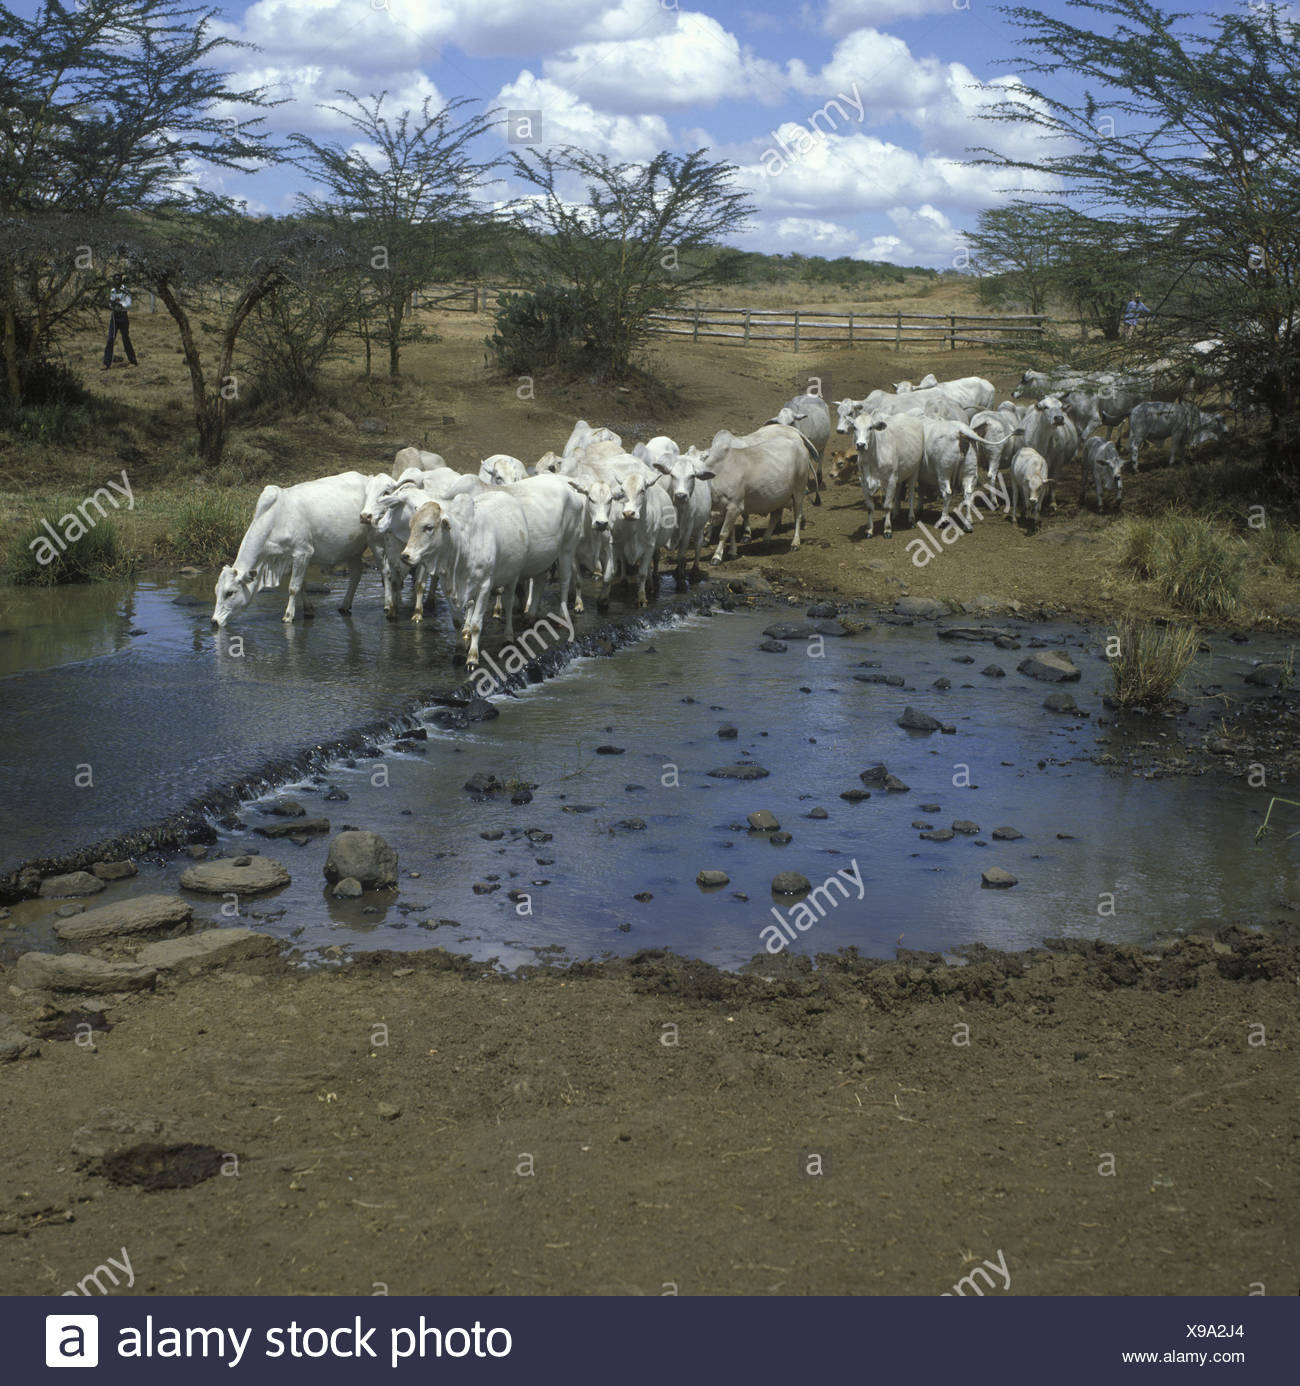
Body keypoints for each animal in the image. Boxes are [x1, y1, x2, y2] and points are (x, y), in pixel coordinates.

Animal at [212, 471, 370, 627]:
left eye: (230, 593)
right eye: (216, 591)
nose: (214, 621)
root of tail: (366, 477)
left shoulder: (303, 552)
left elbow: (293, 587)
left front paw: (288, 616)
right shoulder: (289, 558)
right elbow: (302, 586)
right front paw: (308, 609)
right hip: (353, 551)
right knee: (356, 574)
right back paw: (345, 605)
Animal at [704, 423, 816, 563]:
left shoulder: (734, 506)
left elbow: (724, 532)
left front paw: (717, 556)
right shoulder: (728, 509)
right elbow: (730, 531)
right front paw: (732, 551)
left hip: (798, 491)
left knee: (797, 516)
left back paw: (795, 543)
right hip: (778, 496)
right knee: (775, 516)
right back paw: (766, 539)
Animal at [850, 411, 925, 539]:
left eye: (870, 427)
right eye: (854, 427)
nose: (860, 445)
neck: (872, 460)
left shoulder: (890, 480)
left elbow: (886, 506)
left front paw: (887, 530)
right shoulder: (863, 482)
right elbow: (870, 507)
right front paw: (869, 530)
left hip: (914, 470)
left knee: (911, 495)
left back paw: (911, 519)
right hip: (899, 474)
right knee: (899, 491)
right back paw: (895, 515)